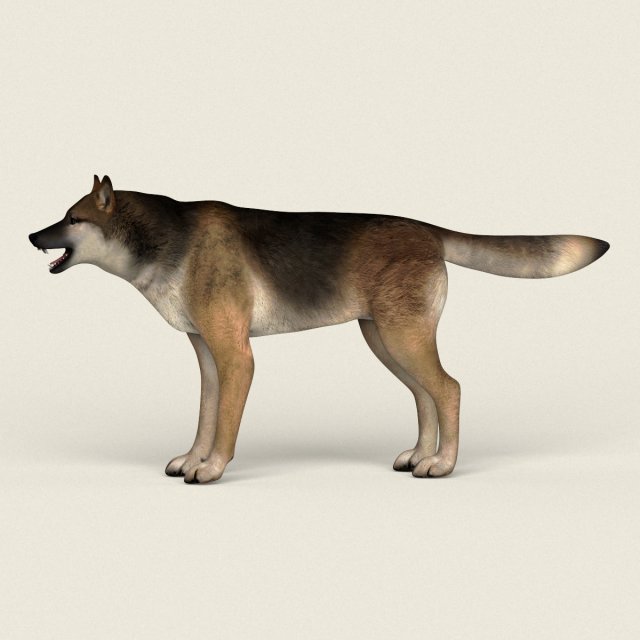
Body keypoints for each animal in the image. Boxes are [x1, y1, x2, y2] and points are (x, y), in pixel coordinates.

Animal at [29, 176, 609, 483]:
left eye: (72, 219)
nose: (32, 236)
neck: (167, 243)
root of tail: (428, 230)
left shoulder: (238, 357)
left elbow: (226, 425)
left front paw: (213, 468)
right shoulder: (209, 358)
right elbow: (205, 415)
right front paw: (193, 459)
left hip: (402, 340)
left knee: (450, 389)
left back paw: (442, 464)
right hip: (385, 341)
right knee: (426, 395)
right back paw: (419, 456)